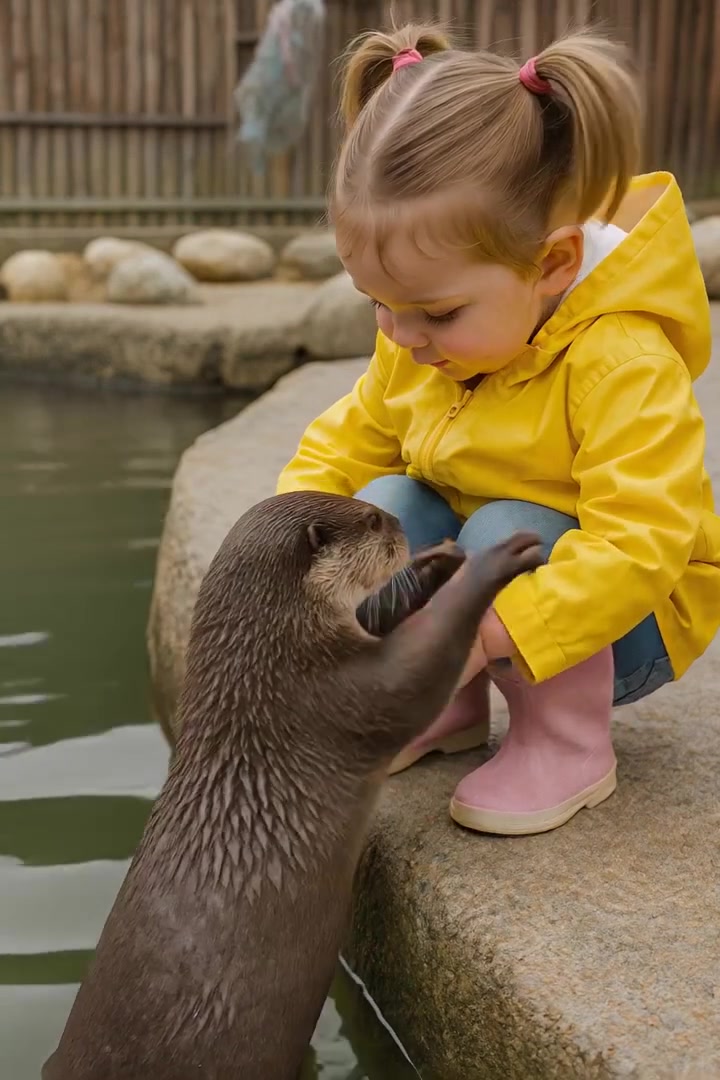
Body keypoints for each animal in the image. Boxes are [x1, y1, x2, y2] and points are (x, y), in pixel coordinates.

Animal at [43, 491, 542, 1080]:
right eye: (372, 520)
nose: (398, 524)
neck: (268, 662)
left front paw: (438, 562)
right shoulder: (327, 696)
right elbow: (418, 672)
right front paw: (493, 563)